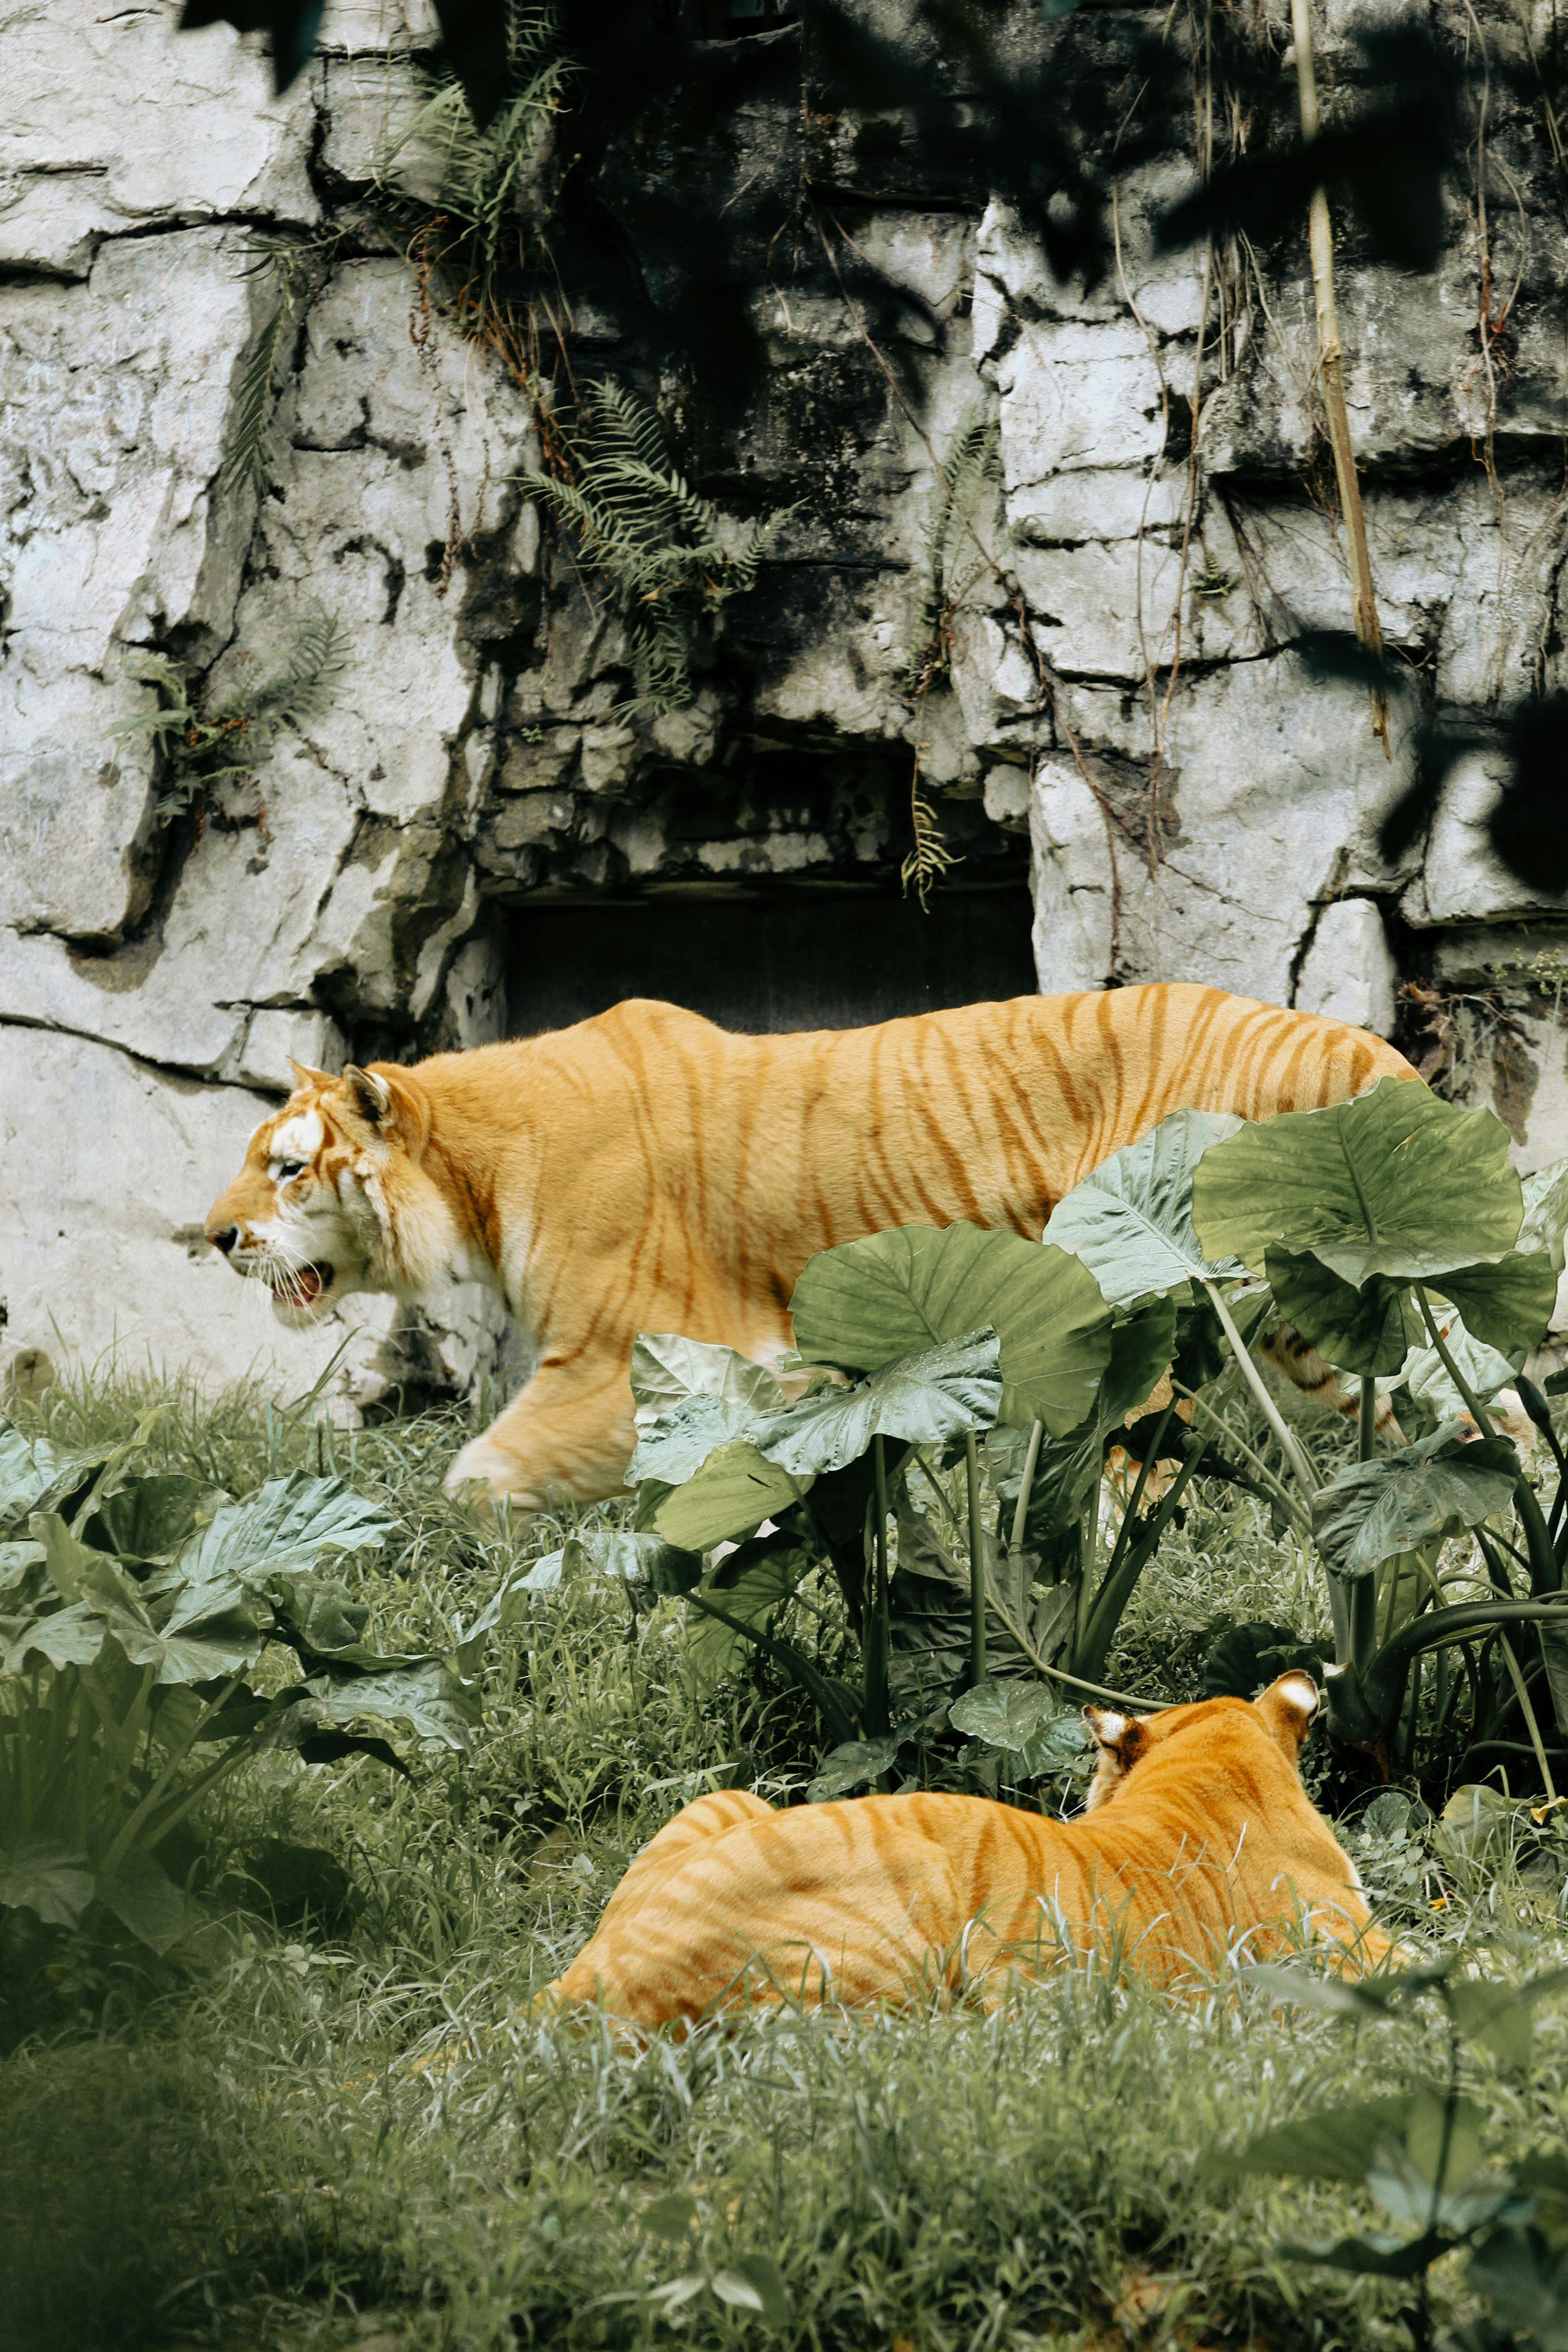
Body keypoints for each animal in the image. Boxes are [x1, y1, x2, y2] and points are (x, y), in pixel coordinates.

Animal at [203, 981, 1415, 1507]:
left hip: (1158, 1303)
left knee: (1138, 1465)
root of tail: (1338, 1038)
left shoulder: (616, 1355)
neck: (475, 1176)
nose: (212, 1238)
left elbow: (478, 1476)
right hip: (1311, 1320)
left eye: (287, 1165)